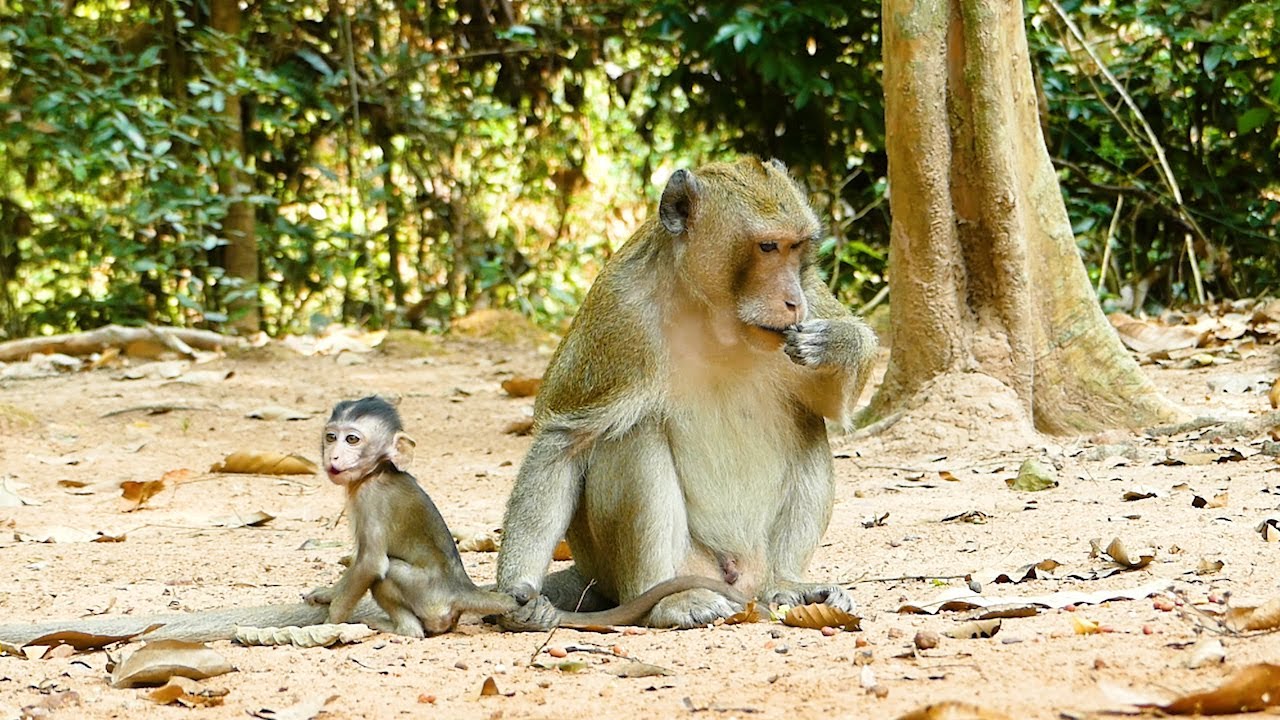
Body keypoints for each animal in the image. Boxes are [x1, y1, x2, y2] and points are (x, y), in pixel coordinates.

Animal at [495, 157, 879, 632]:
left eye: (797, 248)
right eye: (768, 247)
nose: (792, 301)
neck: (715, 313)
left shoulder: (810, 297)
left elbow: (832, 405)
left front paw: (839, 343)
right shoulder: (619, 317)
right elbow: (565, 441)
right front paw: (518, 592)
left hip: (752, 569)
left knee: (808, 427)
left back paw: (788, 584)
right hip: (663, 566)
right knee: (632, 437)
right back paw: (665, 600)